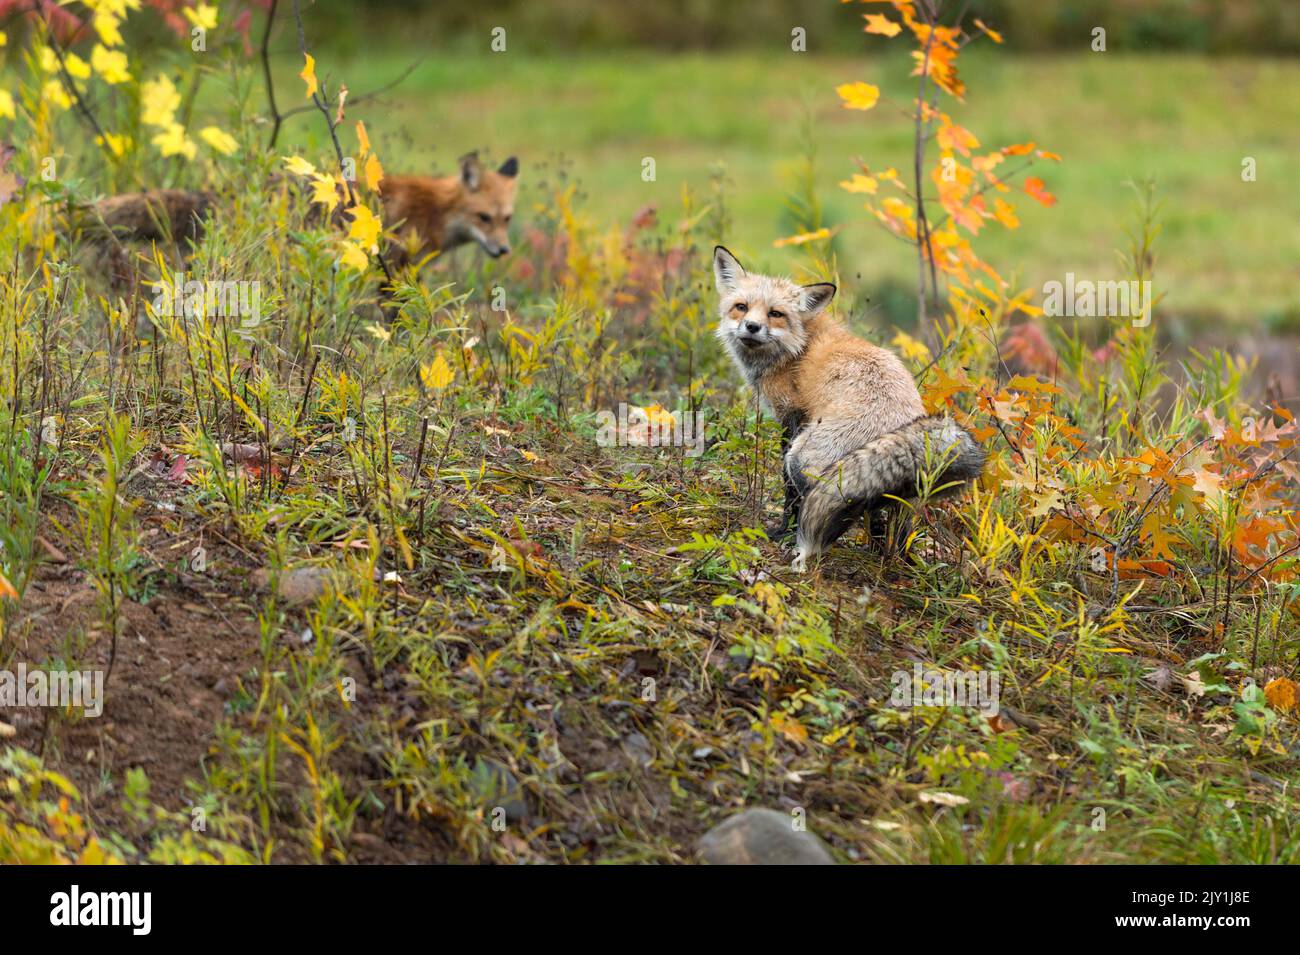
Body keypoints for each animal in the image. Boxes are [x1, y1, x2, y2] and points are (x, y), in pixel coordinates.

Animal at [712, 246, 985, 572]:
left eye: (775, 314)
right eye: (741, 307)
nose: (752, 327)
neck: (797, 347)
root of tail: (901, 425)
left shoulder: (792, 419)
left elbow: (787, 492)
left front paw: (780, 531)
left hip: (804, 459)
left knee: (810, 501)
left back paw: (799, 542)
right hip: (901, 490)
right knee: (892, 524)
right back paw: (888, 560)